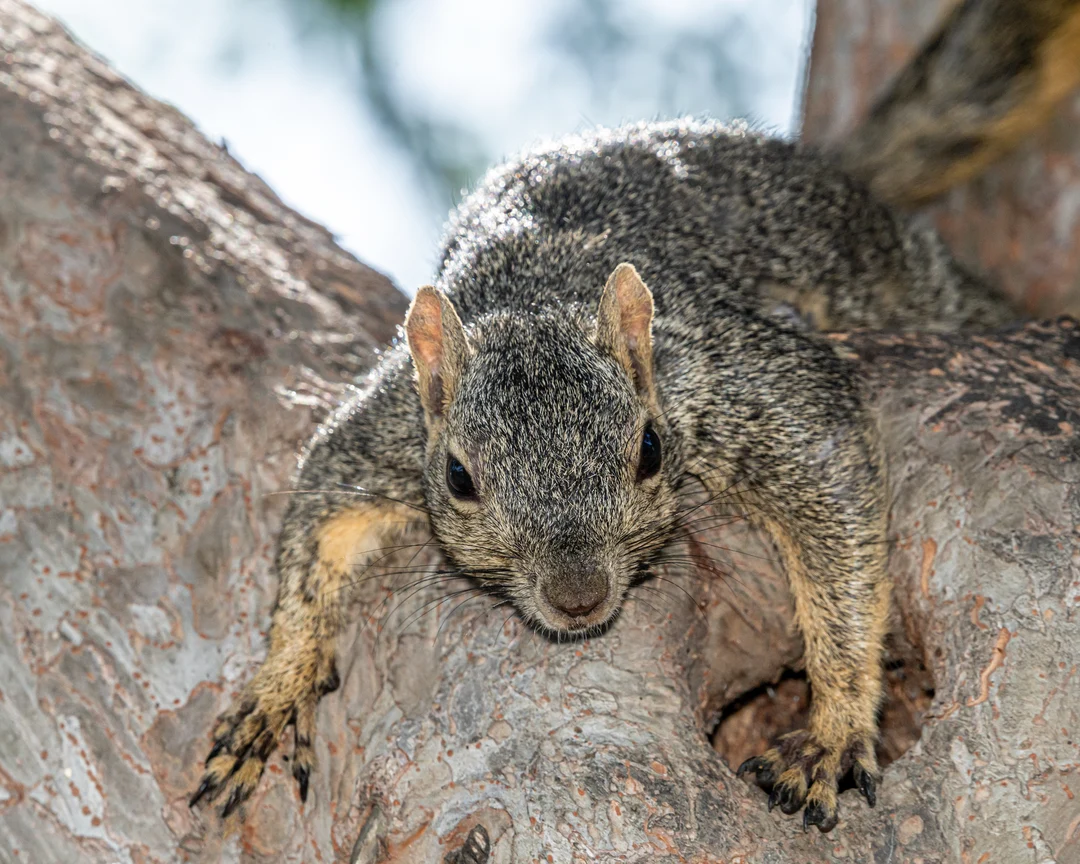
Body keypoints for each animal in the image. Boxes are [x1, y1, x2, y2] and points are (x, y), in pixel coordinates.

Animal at [190, 0, 1080, 835]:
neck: (536, 289)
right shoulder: (392, 430)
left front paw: (833, 728)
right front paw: (277, 690)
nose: (578, 597)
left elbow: (832, 495)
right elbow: (315, 519)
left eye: (650, 450)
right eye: (458, 479)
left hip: (900, 280)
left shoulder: (724, 379)